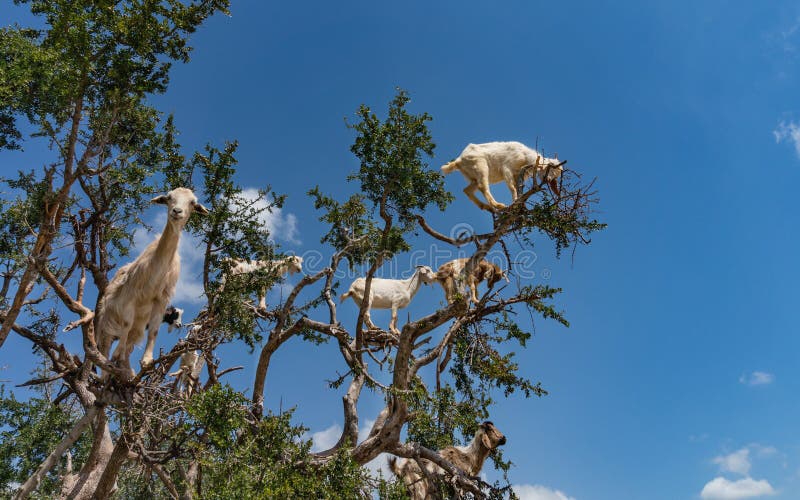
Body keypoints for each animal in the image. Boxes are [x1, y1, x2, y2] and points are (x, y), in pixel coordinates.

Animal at [97, 187, 209, 378]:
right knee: (106, 347)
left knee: (130, 344)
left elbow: (154, 330)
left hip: (138, 326)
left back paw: (127, 370)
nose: (176, 211)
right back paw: (107, 372)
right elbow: (126, 324)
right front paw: (117, 355)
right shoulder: (130, 297)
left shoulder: (161, 299)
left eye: (193, 202)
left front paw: (147, 360)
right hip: (107, 323)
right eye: (169, 197)